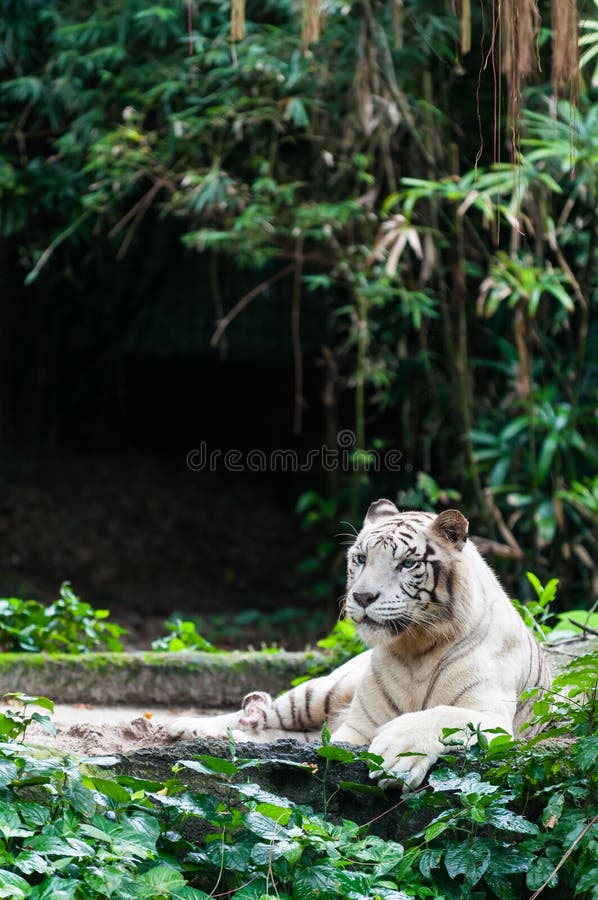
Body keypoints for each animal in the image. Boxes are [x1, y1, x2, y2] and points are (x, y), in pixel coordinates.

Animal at [169, 500, 551, 789]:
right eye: (361, 559)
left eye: (407, 563)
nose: (363, 596)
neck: (416, 646)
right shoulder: (355, 730)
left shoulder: (492, 716)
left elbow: (441, 715)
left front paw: (398, 754)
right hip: (319, 691)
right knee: (267, 714)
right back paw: (184, 728)